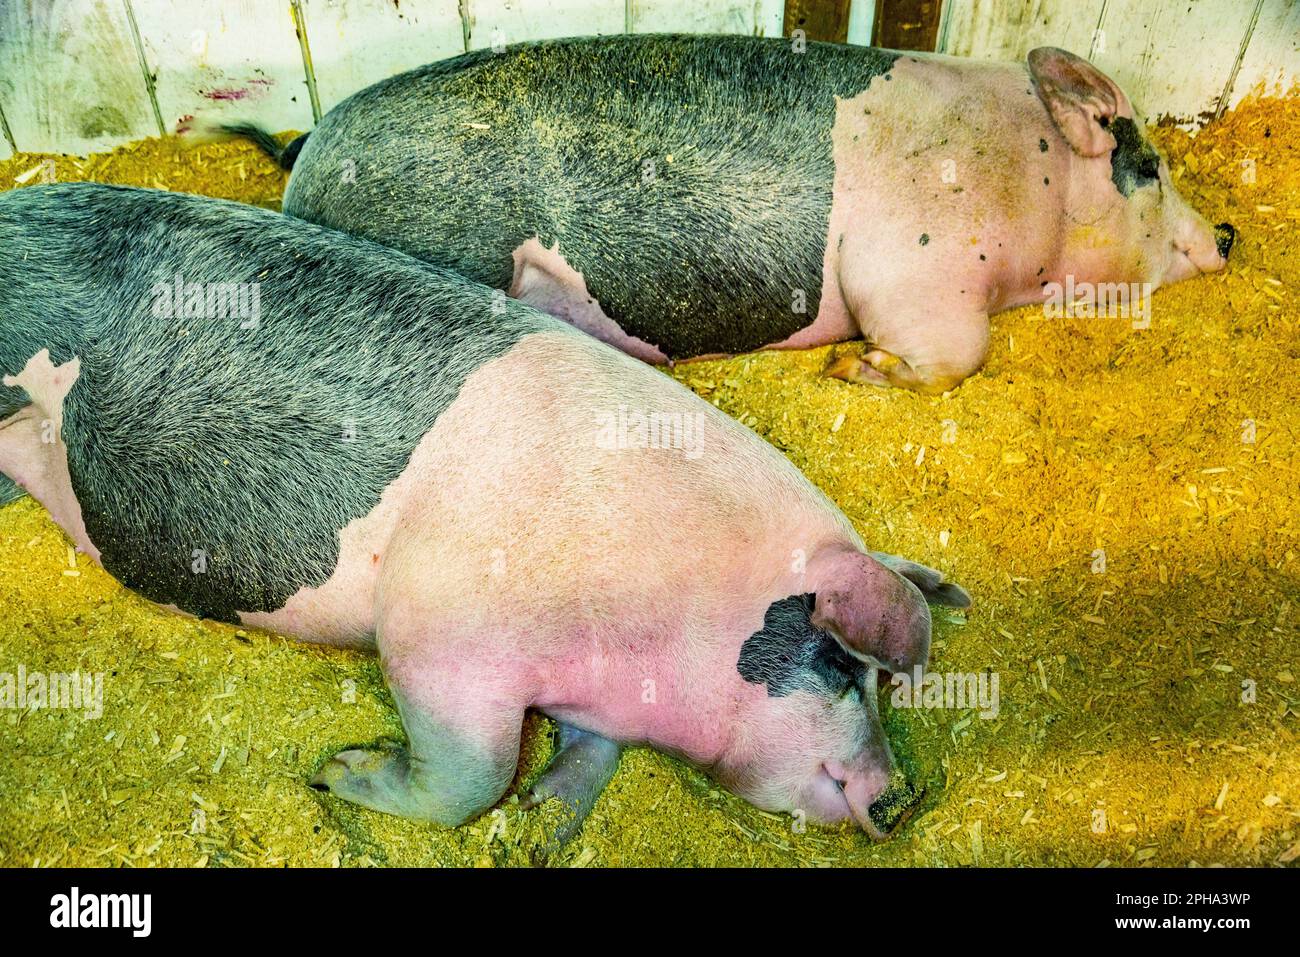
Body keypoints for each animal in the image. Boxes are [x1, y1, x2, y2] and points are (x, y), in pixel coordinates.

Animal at [0, 183, 970, 844]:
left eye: (882, 683)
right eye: (838, 667)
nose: (903, 798)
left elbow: (585, 755)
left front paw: (539, 828)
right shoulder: (431, 633)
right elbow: (472, 775)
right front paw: (336, 772)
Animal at [221, 34, 1235, 395]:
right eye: (1149, 167)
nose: (1227, 233)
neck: (1034, 182)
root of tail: (309, 153)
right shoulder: (915, 270)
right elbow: (955, 356)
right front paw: (853, 368)